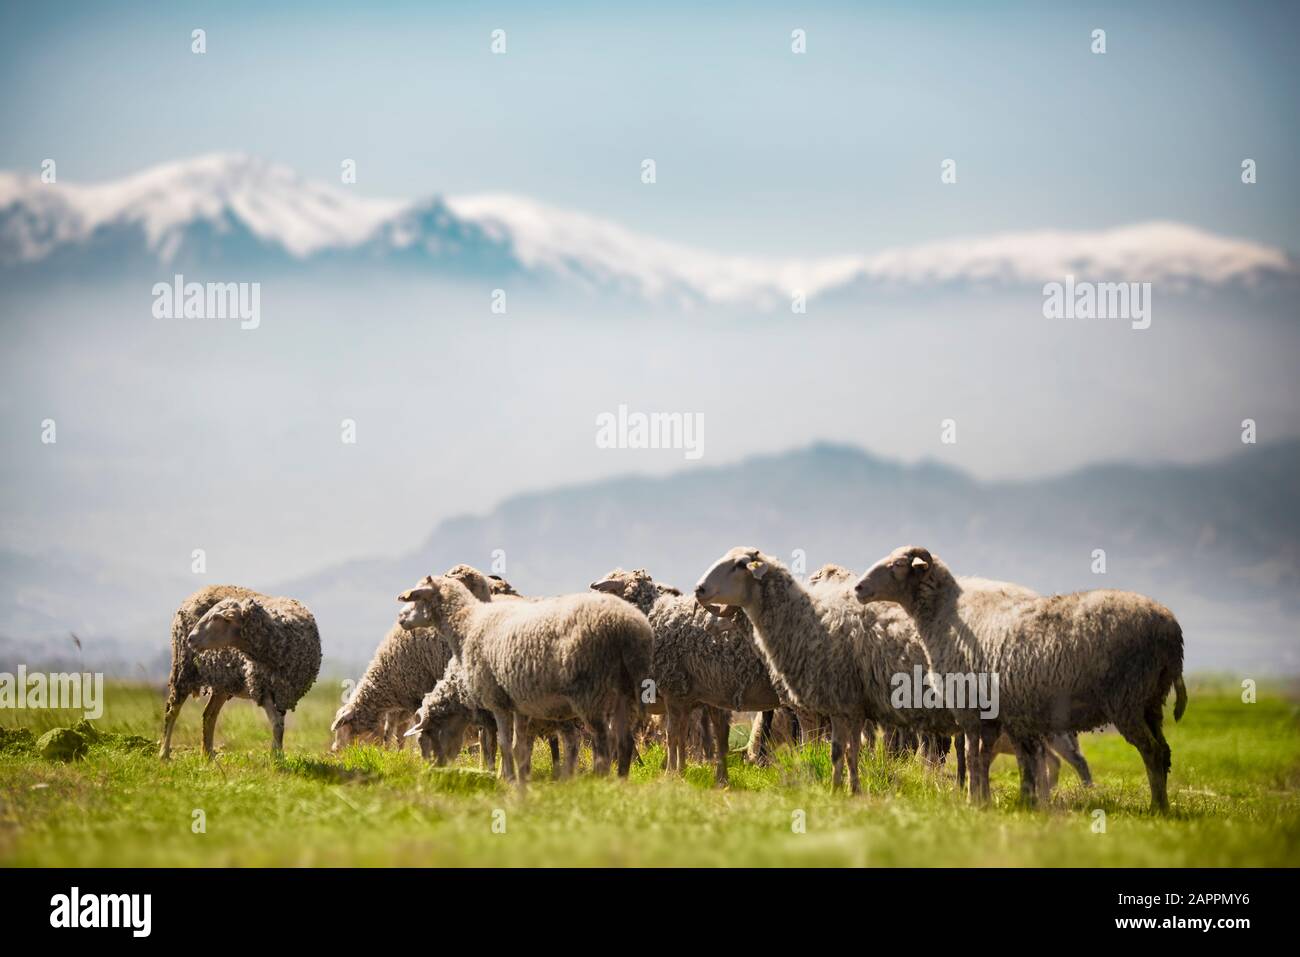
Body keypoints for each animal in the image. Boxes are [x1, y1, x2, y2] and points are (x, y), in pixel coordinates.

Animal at [161, 585, 322, 758]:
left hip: (222, 682)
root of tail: (195, 594)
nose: (191, 638)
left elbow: (280, 725)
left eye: (216, 617)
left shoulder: (283, 693)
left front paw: (278, 754)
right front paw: (276, 757)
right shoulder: (262, 688)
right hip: (183, 670)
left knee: (209, 715)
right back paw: (164, 754)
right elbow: (277, 724)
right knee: (171, 710)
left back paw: (208, 755)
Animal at [396, 575, 652, 787]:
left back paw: (598, 782)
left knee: (604, 742)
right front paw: (520, 777)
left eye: (417, 597)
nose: (400, 618)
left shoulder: (496, 701)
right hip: (624, 692)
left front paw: (507, 779)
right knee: (624, 741)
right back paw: (619, 782)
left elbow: (503, 743)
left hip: (589, 691)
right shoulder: (518, 703)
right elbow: (519, 745)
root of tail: (625, 626)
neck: (468, 623)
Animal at [590, 567, 781, 785]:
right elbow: (687, 734)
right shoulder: (687, 696)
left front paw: (675, 772)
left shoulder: (678, 690)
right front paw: (682, 771)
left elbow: (679, 734)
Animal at [854, 546, 1186, 812]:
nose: (858, 588)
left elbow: (973, 757)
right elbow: (1006, 760)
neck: (945, 615)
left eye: (898, 565)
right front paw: (1013, 801)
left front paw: (975, 800)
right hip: (1151, 702)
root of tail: (1171, 630)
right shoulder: (1005, 715)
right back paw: (1162, 804)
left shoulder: (970, 710)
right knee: (1164, 752)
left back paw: (1157, 808)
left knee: (1152, 752)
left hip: (1127, 698)